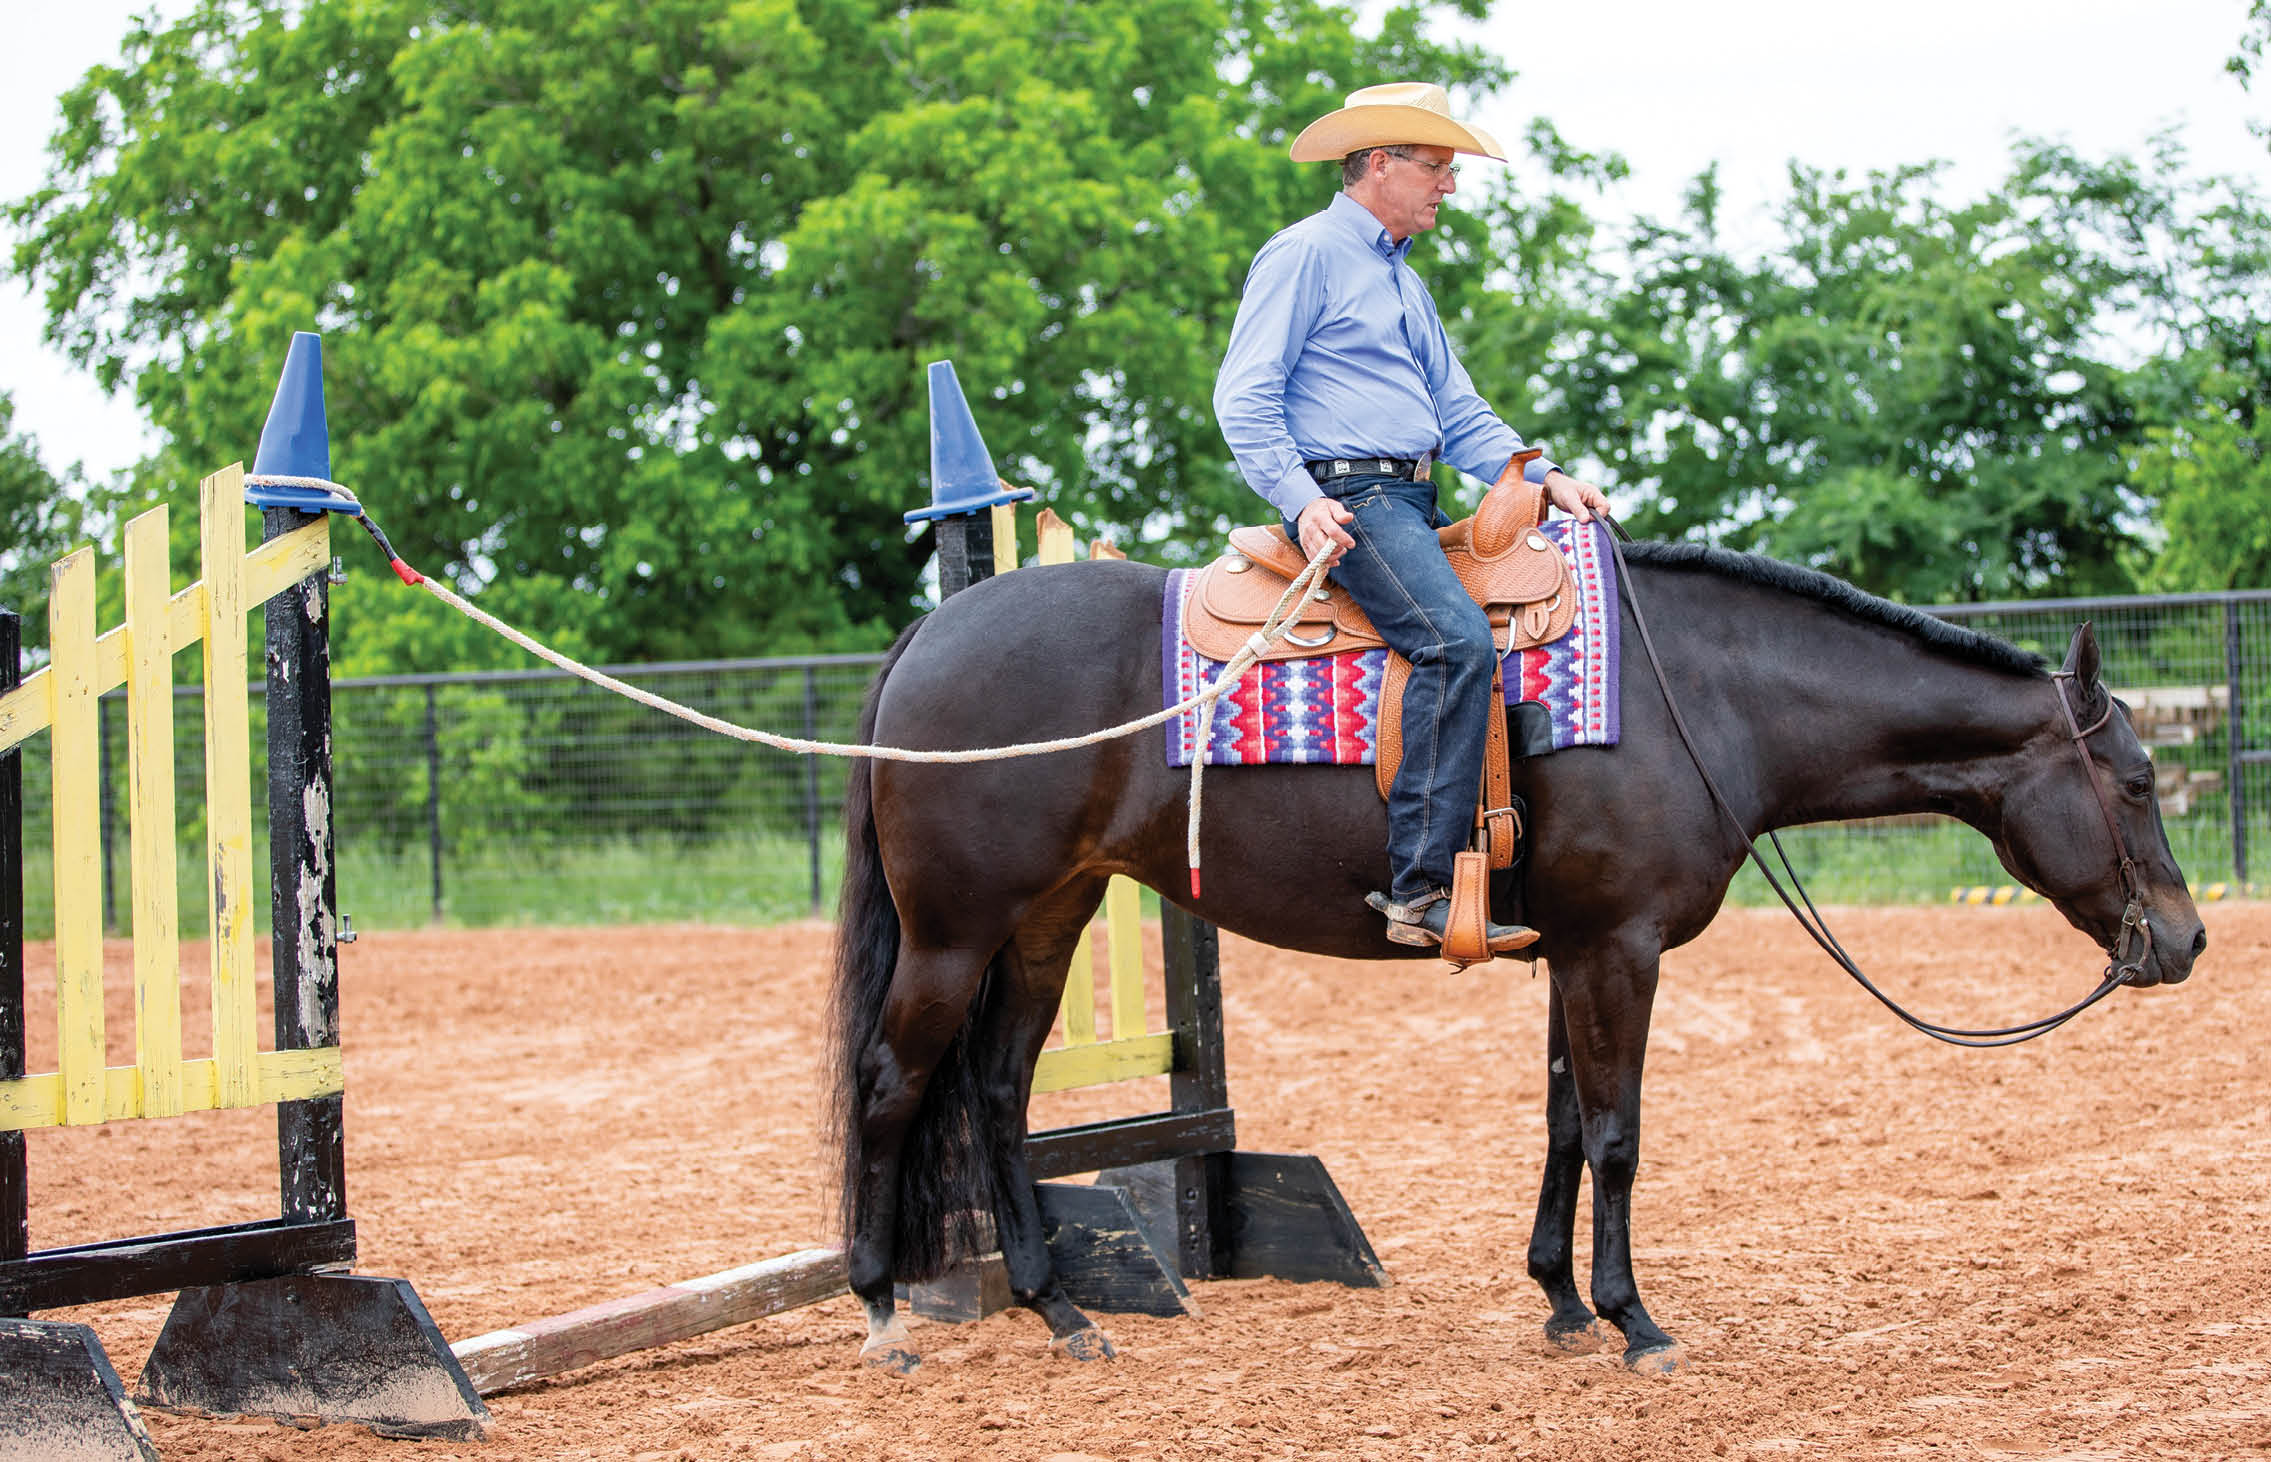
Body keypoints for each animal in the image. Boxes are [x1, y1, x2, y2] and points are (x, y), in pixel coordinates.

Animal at [827, 538, 2205, 1375]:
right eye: (2138, 782)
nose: (2187, 939)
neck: (1700, 699)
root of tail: (926, 638)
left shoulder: (1572, 950)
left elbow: (1561, 1124)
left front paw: (1557, 1298)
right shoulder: (1621, 951)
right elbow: (1618, 1133)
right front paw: (1634, 1319)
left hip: (1048, 921)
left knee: (1000, 1094)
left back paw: (1059, 1307)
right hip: (954, 934)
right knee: (894, 1089)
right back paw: (885, 1310)